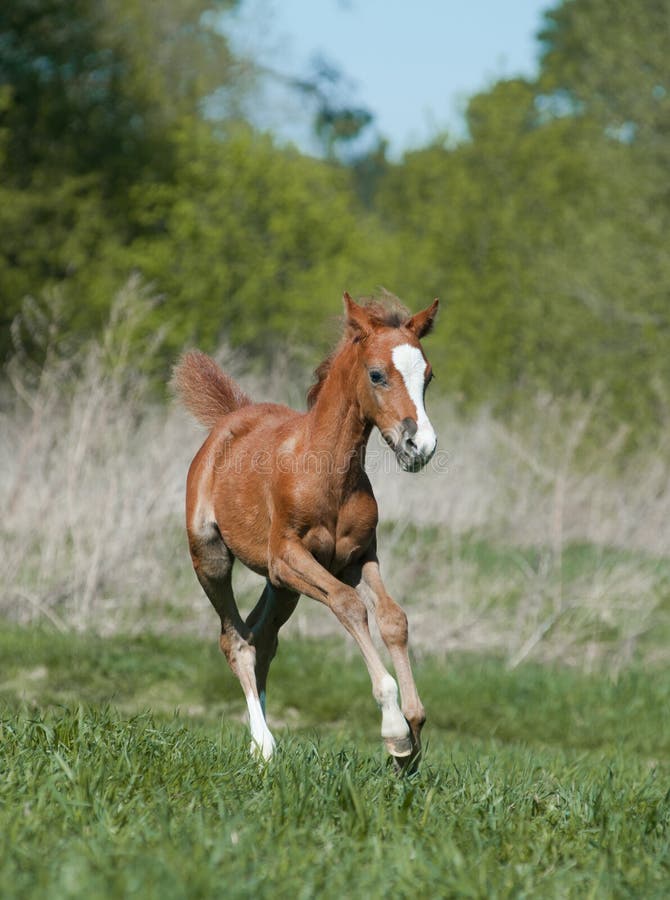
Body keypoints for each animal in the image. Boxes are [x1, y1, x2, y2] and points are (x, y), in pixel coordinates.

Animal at [173, 292, 439, 766]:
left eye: (428, 375)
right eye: (377, 375)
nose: (420, 447)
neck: (327, 473)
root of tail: (232, 416)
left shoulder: (357, 557)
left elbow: (393, 618)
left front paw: (413, 735)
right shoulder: (287, 556)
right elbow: (350, 605)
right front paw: (395, 730)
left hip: (283, 588)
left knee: (261, 637)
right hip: (212, 557)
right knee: (234, 640)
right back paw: (263, 745)